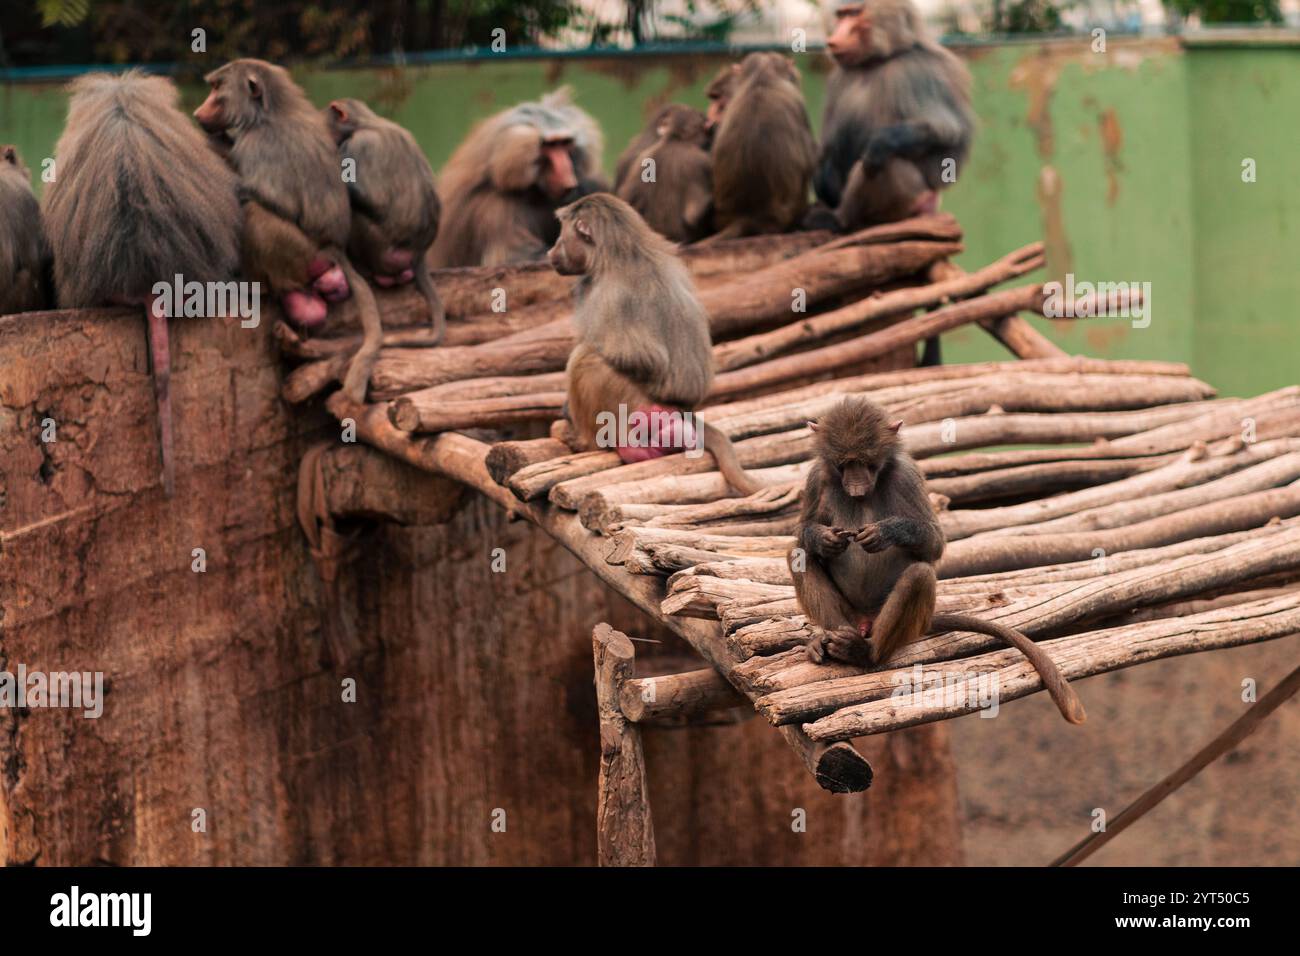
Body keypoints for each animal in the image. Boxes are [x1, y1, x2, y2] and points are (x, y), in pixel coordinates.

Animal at [194, 58, 382, 401]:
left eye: (217, 88)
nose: (198, 113)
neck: (269, 112)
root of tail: (335, 250)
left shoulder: (257, 145)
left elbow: (270, 201)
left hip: (302, 257)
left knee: (256, 216)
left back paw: (258, 288)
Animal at [429, 89, 606, 268]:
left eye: (564, 143)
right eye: (549, 145)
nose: (568, 176)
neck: (534, 192)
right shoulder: (494, 209)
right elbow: (517, 257)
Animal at [547, 194, 762, 496]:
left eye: (562, 233)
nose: (551, 251)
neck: (621, 252)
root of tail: (679, 410)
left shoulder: (603, 293)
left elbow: (641, 359)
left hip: (631, 407)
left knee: (585, 359)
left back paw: (585, 441)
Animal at [789, 396, 1086, 724]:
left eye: (866, 463)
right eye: (844, 465)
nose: (855, 487)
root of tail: (865, 623)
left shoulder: (907, 475)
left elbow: (935, 544)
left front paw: (885, 532)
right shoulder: (816, 477)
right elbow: (802, 531)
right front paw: (824, 539)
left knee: (919, 575)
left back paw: (865, 653)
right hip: (849, 616)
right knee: (799, 555)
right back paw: (828, 641)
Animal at [814, 0, 974, 230]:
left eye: (855, 13)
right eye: (841, 15)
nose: (833, 41)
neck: (875, 61)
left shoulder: (916, 72)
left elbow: (945, 131)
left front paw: (882, 141)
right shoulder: (838, 79)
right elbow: (828, 151)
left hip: (912, 197)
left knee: (881, 162)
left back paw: (840, 221)